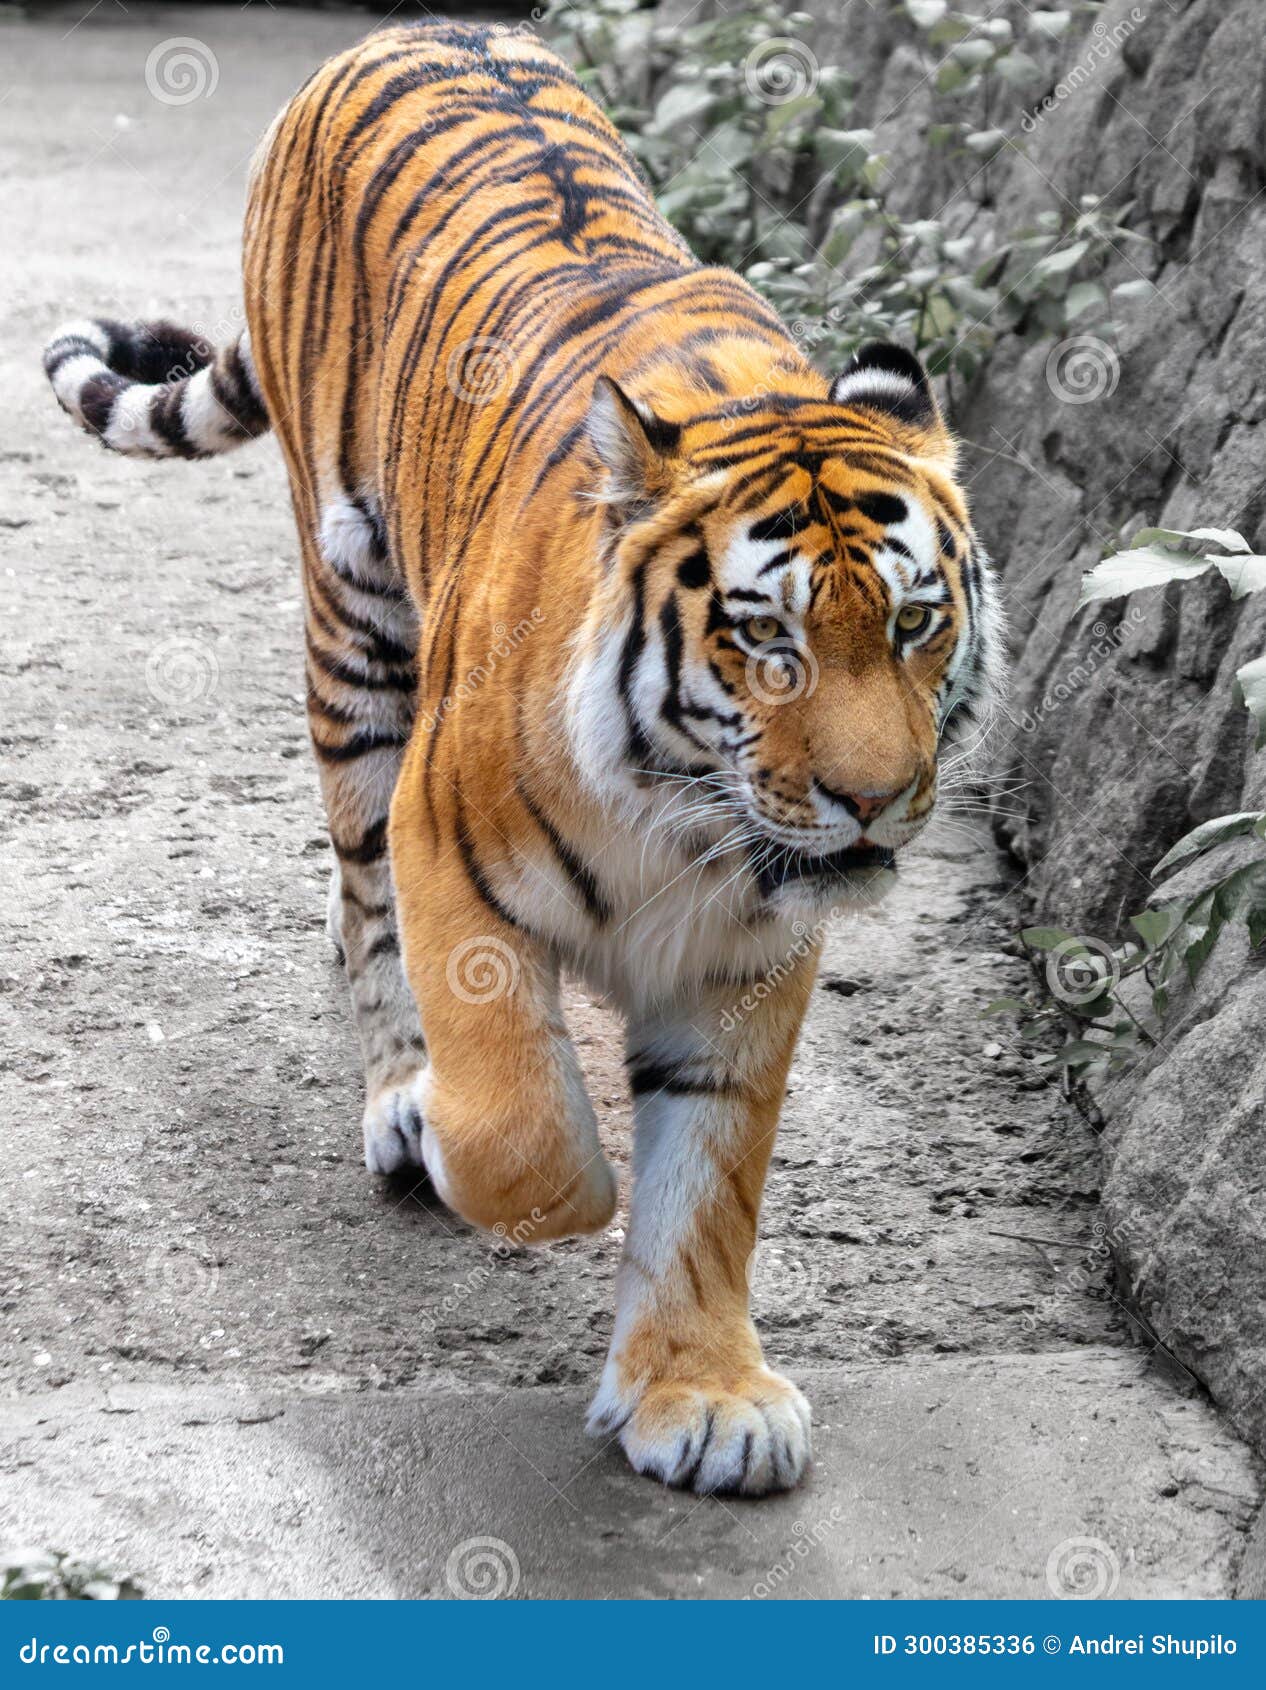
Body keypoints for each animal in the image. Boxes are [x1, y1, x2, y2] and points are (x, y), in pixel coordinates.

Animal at [42, 18, 1003, 1497]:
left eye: (913, 622)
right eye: (765, 636)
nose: (874, 800)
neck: (686, 818)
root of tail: (411, 29)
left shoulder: (750, 960)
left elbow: (709, 1179)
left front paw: (698, 1393)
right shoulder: (451, 851)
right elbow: (523, 1122)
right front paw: (480, 1146)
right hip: (357, 637)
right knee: (357, 900)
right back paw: (398, 1100)